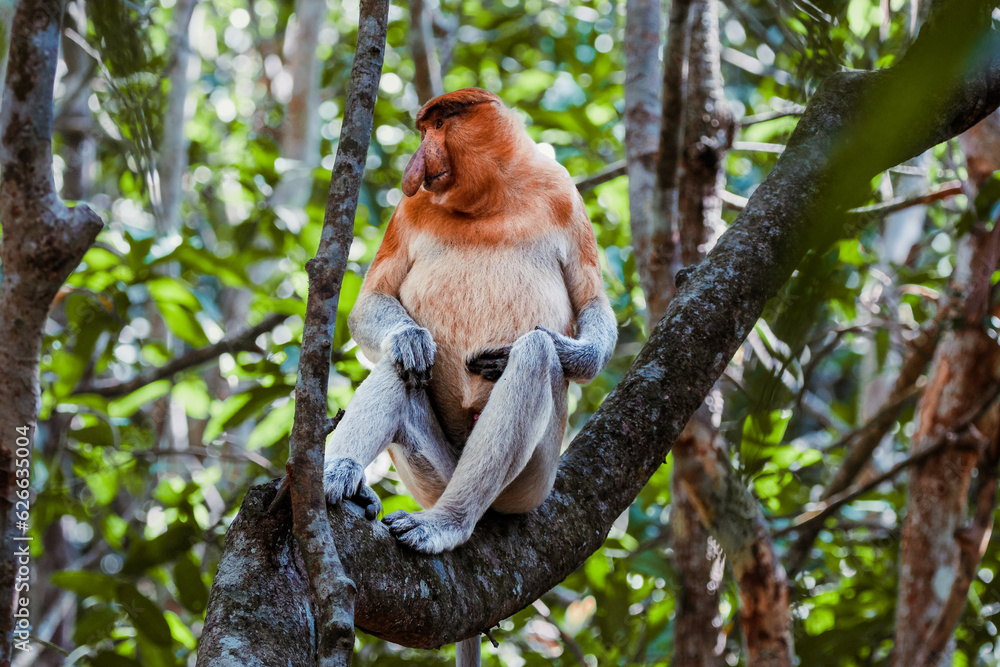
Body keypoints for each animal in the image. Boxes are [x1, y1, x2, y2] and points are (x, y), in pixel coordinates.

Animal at [322, 88, 617, 665]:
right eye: (423, 130)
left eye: (439, 125)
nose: (418, 161)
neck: (490, 201)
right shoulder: (409, 209)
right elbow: (373, 301)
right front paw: (410, 338)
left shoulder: (564, 194)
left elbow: (591, 302)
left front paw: (556, 351)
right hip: (434, 473)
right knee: (402, 366)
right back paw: (341, 480)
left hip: (530, 485)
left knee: (533, 358)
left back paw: (444, 525)